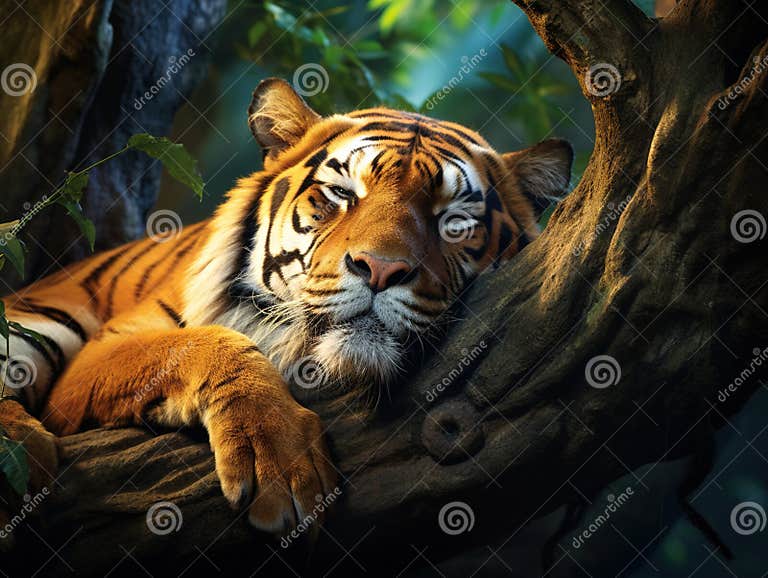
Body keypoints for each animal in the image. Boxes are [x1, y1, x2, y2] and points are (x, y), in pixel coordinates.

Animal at [0, 78, 572, 542]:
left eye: (454, 220)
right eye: (341, 194)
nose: (380, 269)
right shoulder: (100, 353)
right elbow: (205, 343)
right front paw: (277, 462)